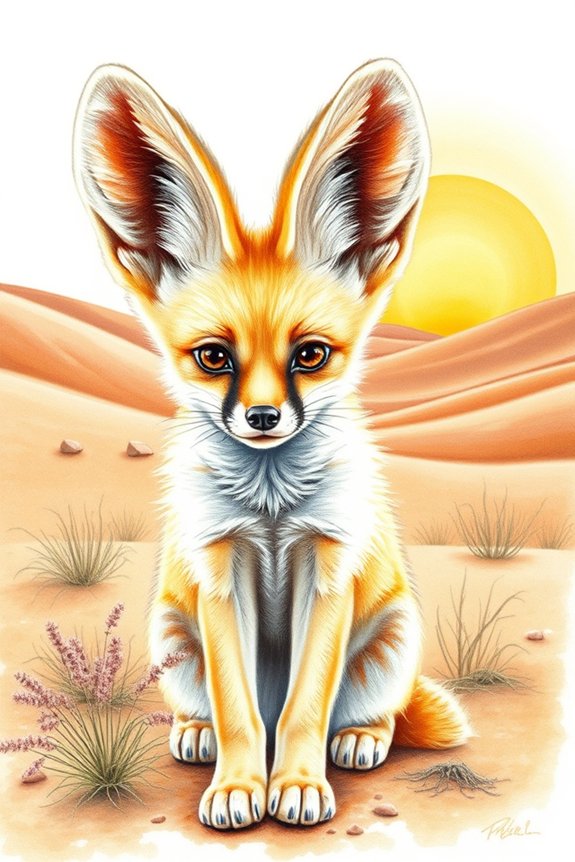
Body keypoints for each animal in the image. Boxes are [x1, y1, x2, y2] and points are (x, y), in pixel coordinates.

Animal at [73, 59, 470, 830]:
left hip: (392, 638)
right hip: (174, 636)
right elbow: (241, 713)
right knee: (213, 707)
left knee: (376, 713)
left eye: (310, 355)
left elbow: (302, 708)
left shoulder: (329, 562)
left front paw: (296, 783)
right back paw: (194, 732)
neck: (272, 513)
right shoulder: (219, 567)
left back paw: (360, 738)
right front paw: (237, 787)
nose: (261, 418)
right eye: (213, 357)